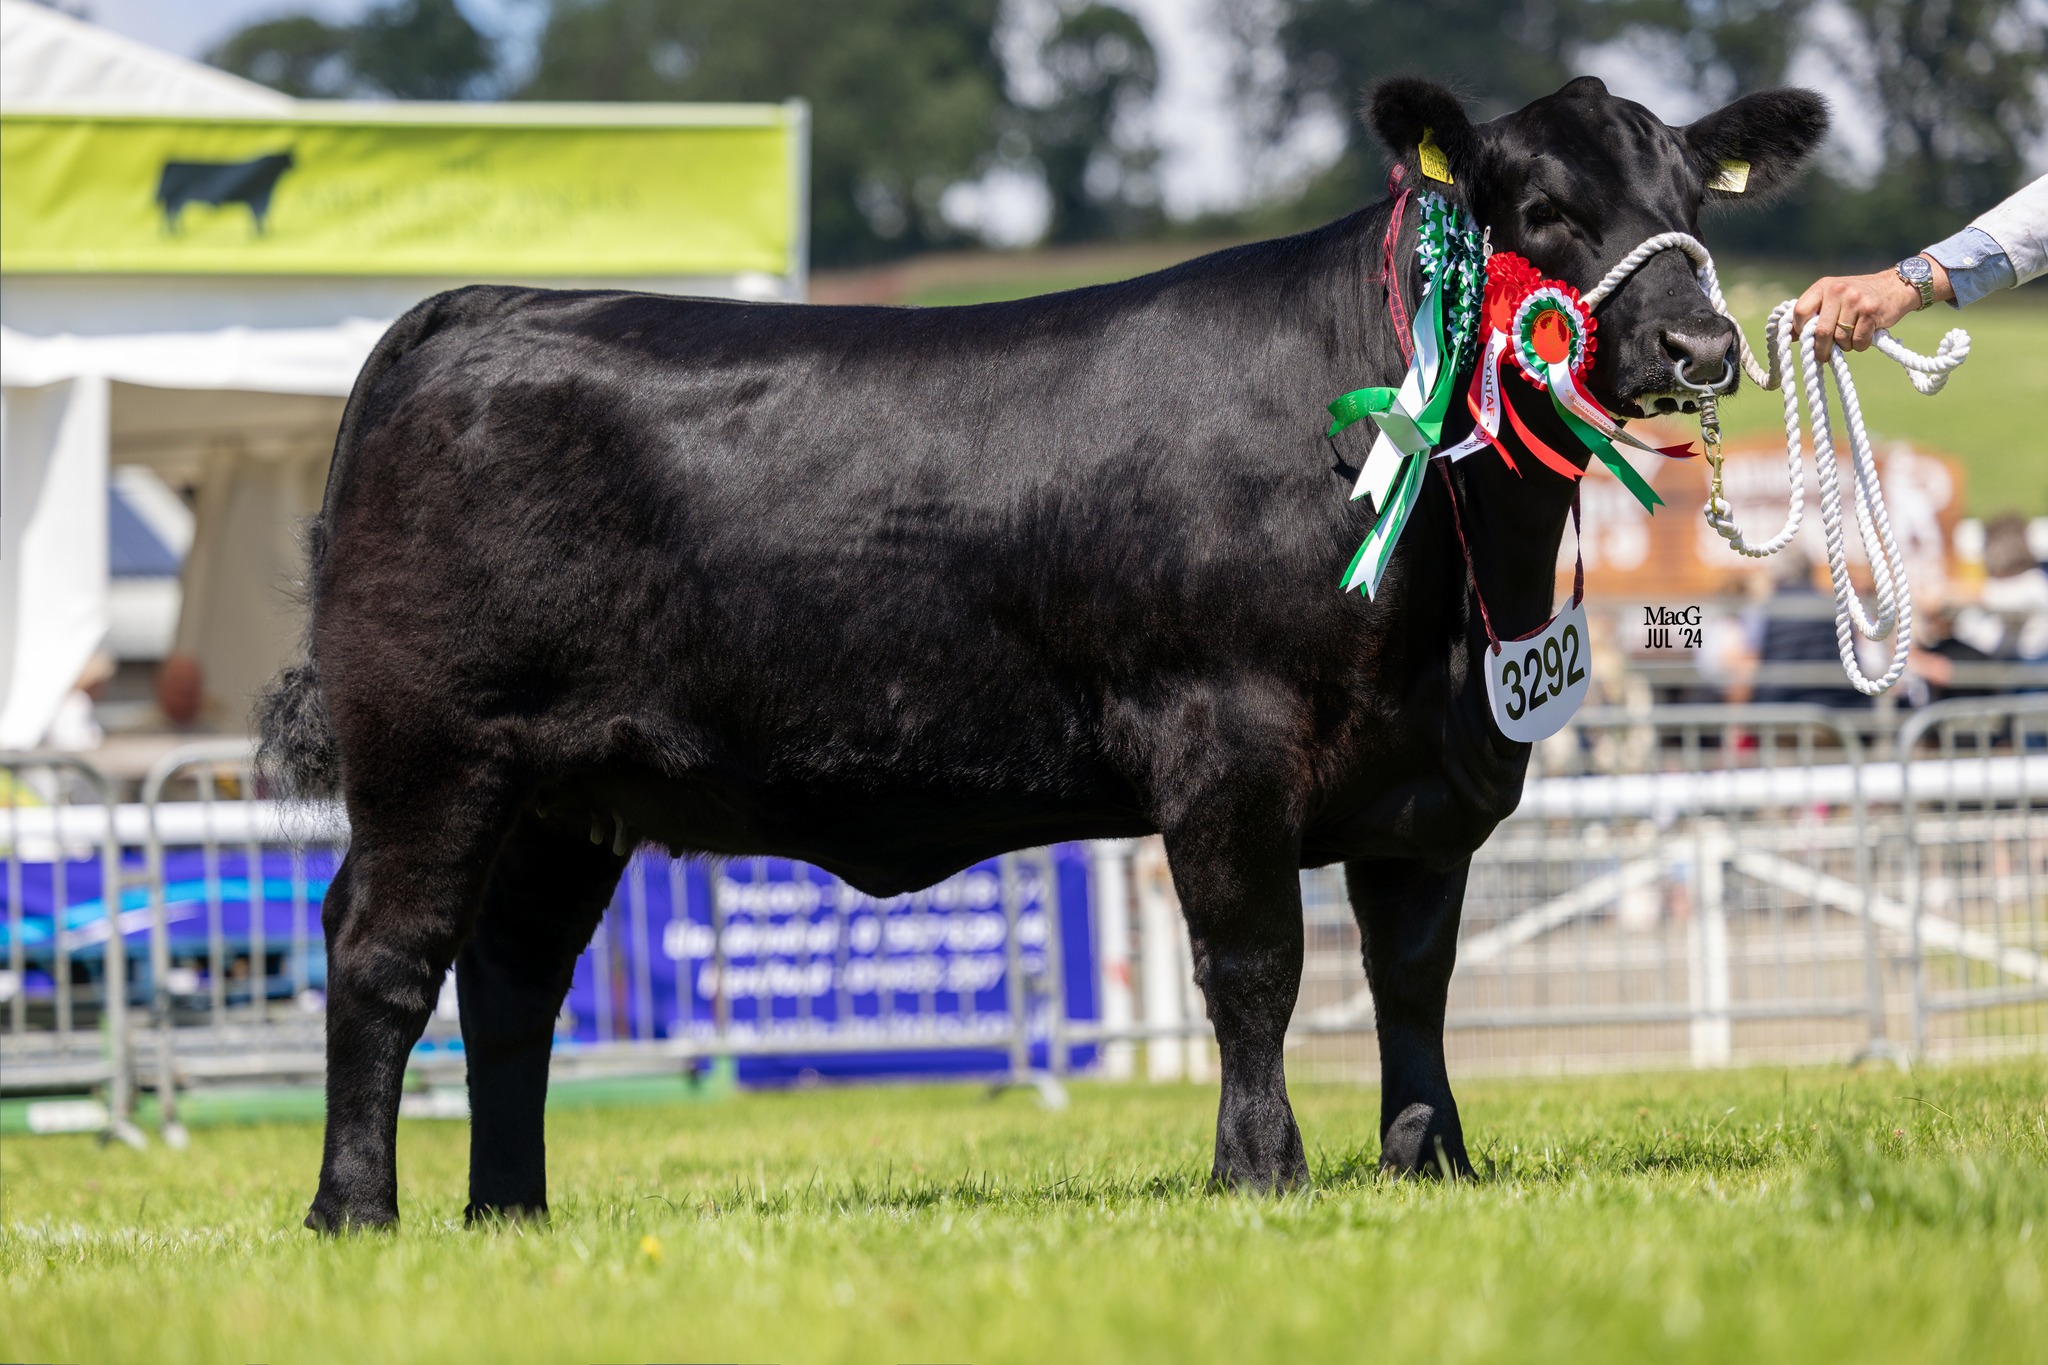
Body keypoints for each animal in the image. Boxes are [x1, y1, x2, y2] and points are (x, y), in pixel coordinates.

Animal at [156, 150, 294, 233]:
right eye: (288, 158)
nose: (295, 163)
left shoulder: (260, 200)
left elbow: (259, 215)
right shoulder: (257, 200)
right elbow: (258, 215)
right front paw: (261, 233)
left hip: (178, 201)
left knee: (172, 213)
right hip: (175, 199)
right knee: (169, 213)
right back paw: (172, 232)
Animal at [259, 76, 1827, 1231]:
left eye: (1691, 206)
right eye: (1546, 211)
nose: (1701, 344)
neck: (1452, 579)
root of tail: (479, 308)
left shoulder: (1426, 784)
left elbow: (1412, 976)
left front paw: (1428, 1160)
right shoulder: (1224, 744)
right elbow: (1254, 966)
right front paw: (1261, 1169)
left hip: (560, 794)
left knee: (512, 978)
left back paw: (507, 1212)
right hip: (433, 753)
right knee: (382, 953)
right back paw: (356, 1212)